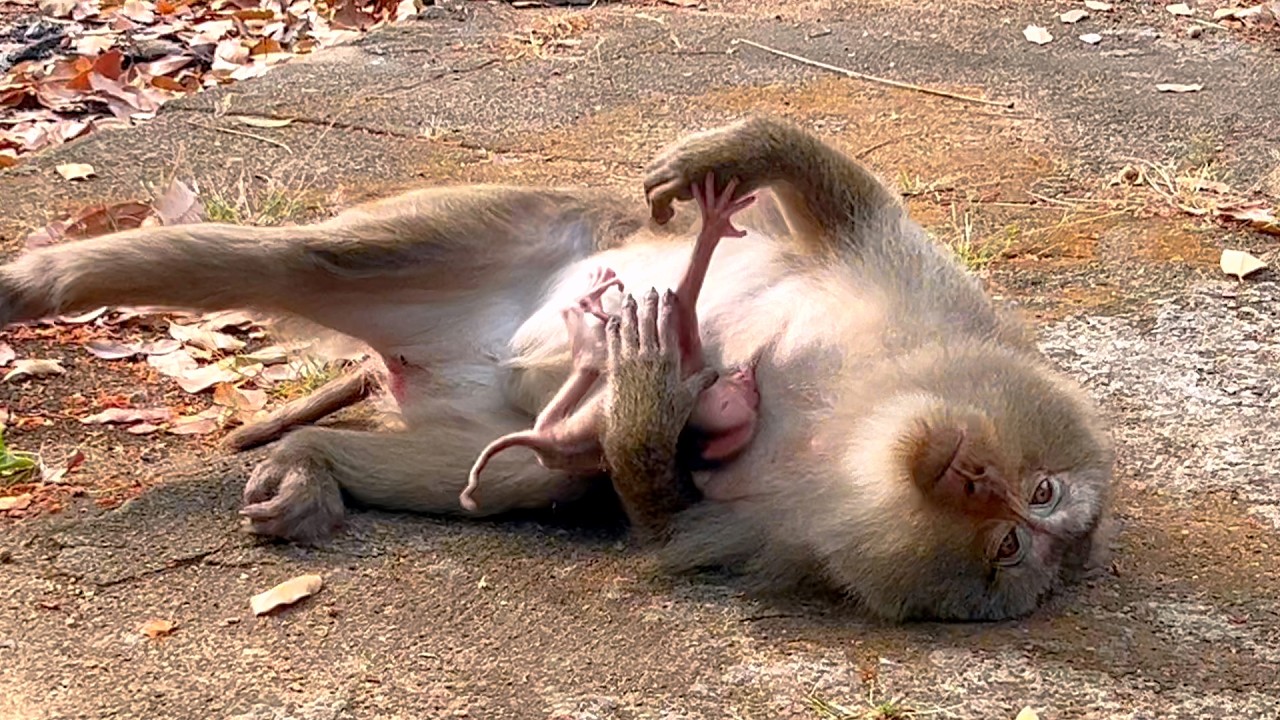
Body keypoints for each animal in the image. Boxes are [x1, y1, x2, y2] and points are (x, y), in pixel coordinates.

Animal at [459, 177, 762, 513]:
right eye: (738, 388)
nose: (748, 379)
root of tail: (539, 442)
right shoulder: (690, 362)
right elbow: (683, 299)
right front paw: (713, 222)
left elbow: (682, 300)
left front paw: (713, 223)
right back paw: (592, 314)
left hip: (556, 438)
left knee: (570, 392)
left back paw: (587, 327)